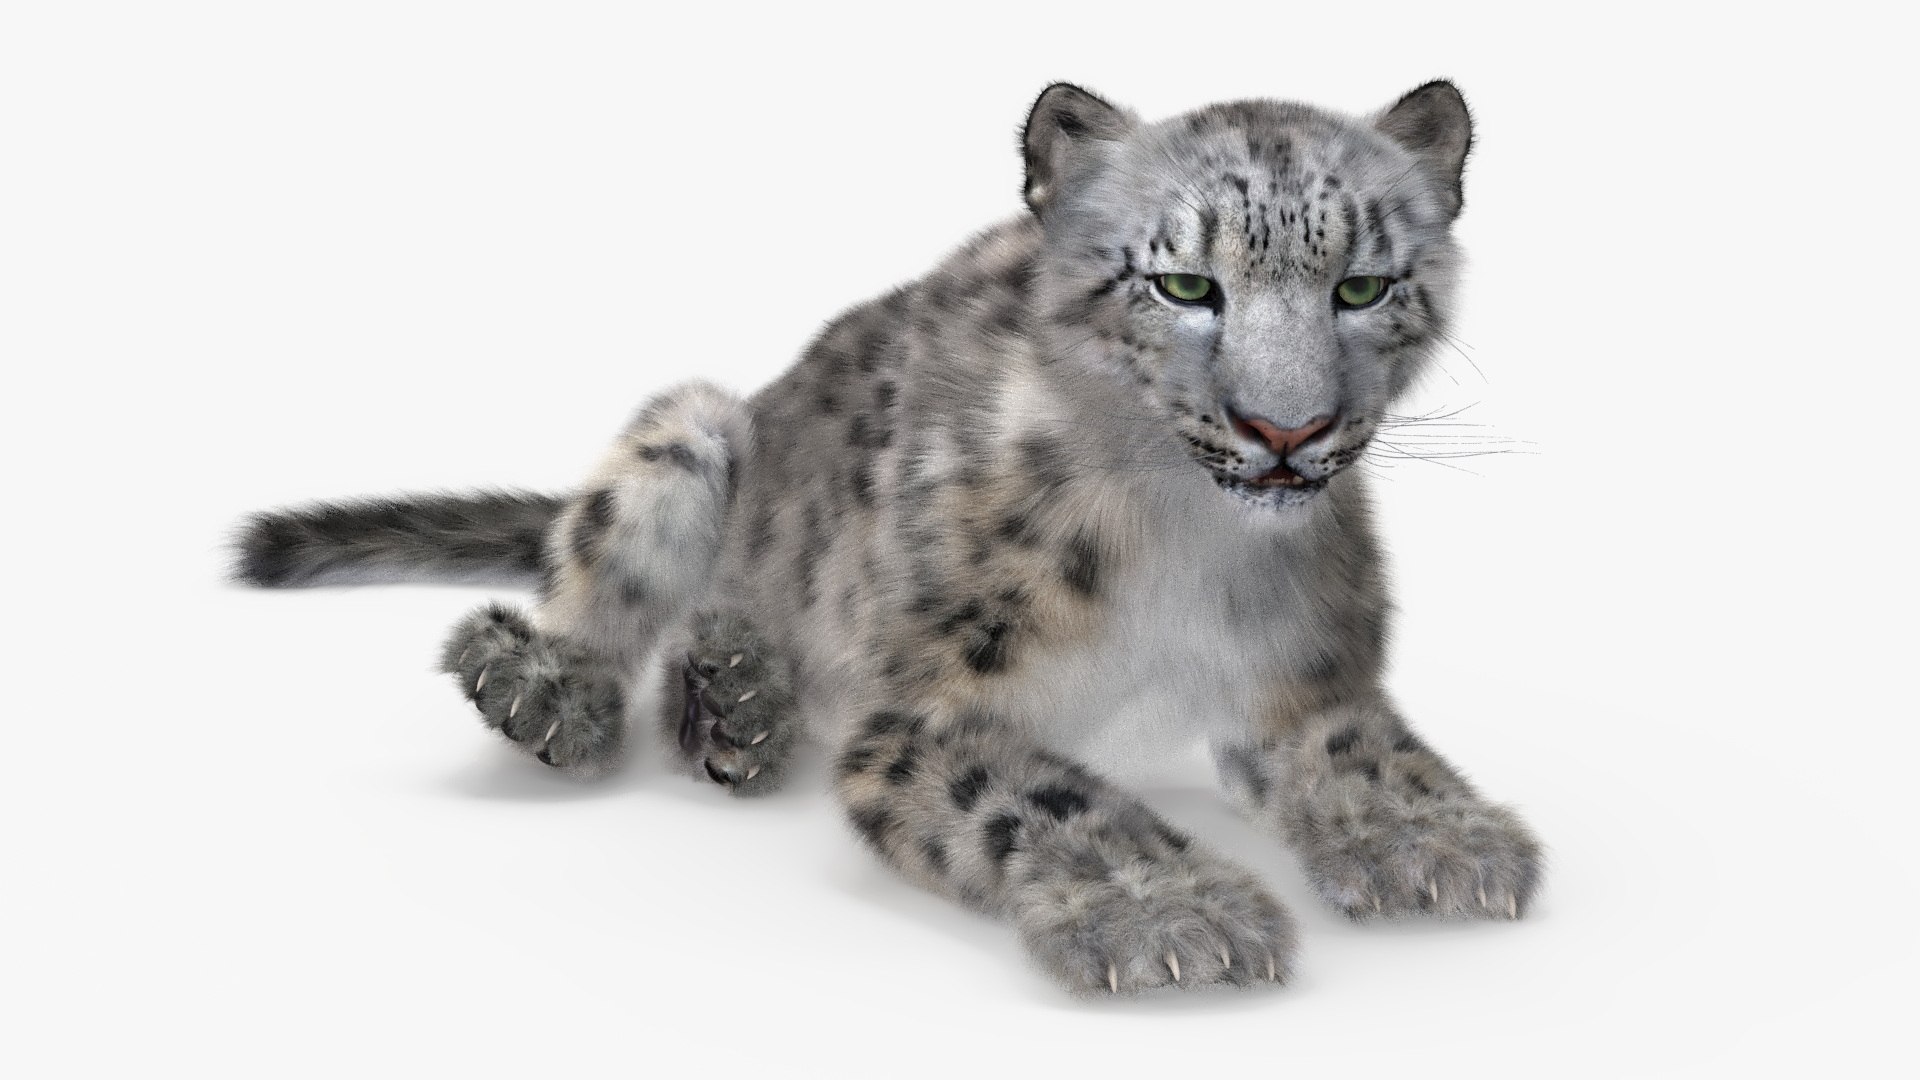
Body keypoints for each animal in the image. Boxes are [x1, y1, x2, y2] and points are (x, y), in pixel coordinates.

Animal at [235, 80, 1543, 996]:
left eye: (1364, 287)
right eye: (1182, 286)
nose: (1286, 429)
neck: (1189, 542)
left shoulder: (1305, 680)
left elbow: (1367, 754)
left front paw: (1447, 838)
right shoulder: (927, 709)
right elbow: (1052, 802)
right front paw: (1170, 913)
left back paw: (738, 701)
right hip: (692, 435)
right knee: (605, 587)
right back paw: (571, 686)